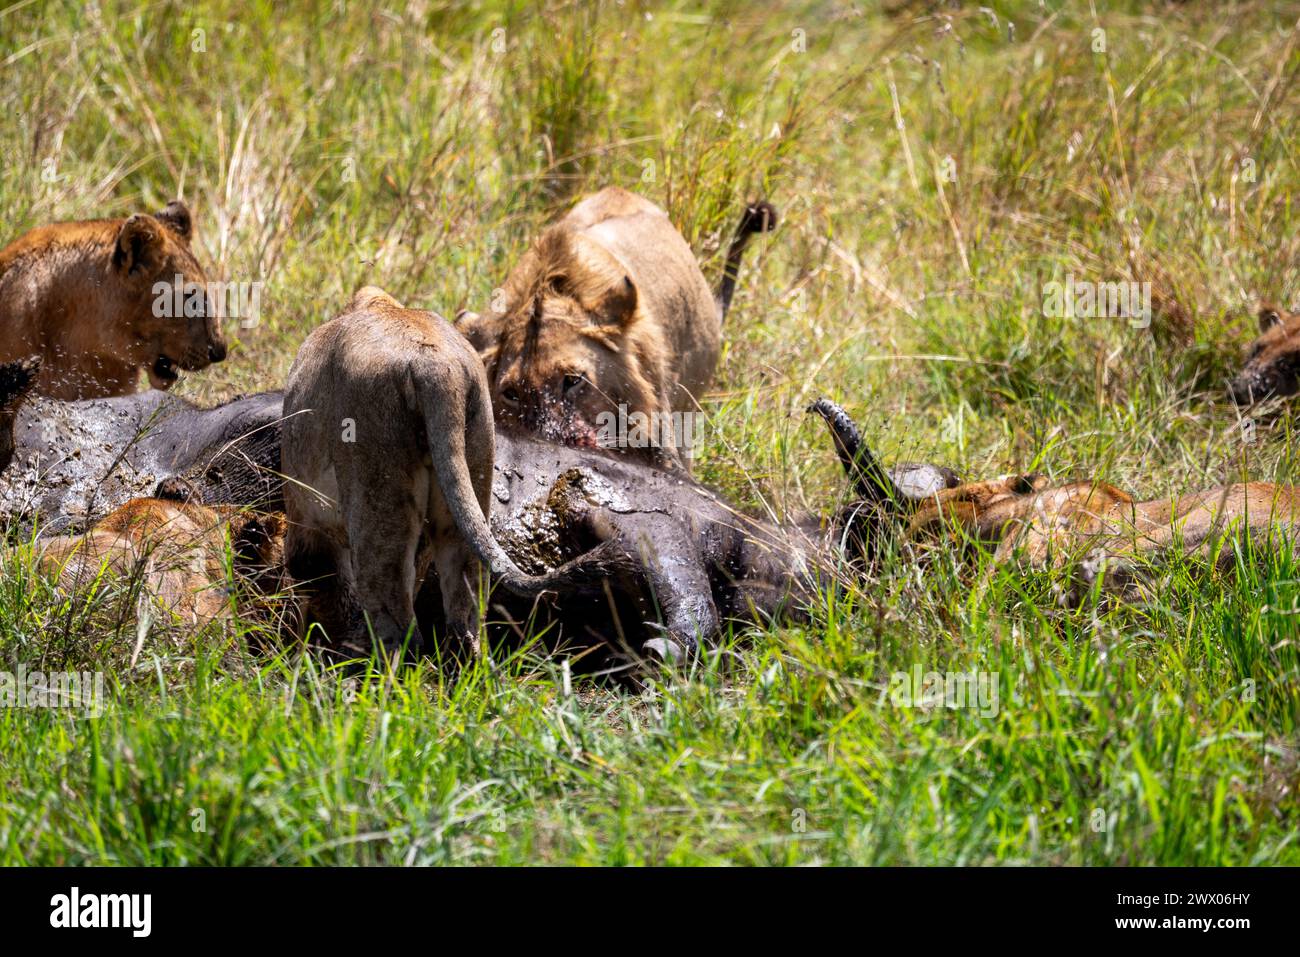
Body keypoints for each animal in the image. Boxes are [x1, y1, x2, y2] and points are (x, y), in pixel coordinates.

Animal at [281, 286, 613, 661]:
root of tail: (437, 368)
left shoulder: (304, 517)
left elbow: (315, 574)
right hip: (473, 460)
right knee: (465, 609)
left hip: (375, 486)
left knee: (396, 621)